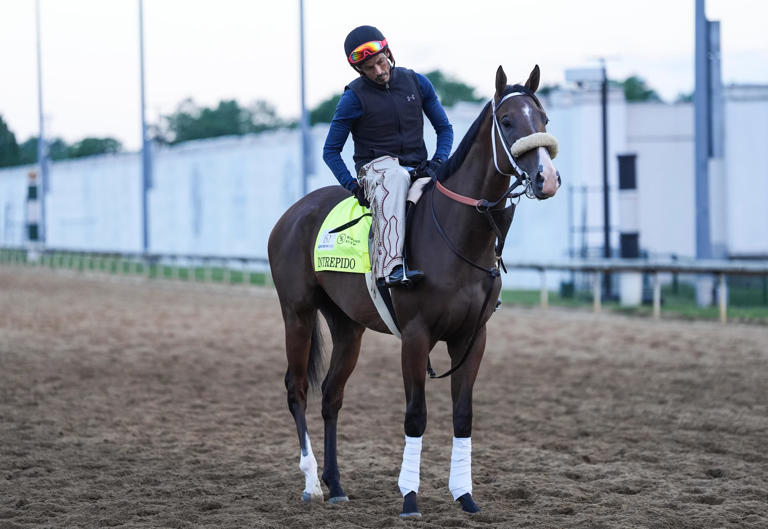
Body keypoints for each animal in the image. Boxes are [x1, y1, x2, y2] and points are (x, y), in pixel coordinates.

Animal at [268, 65, 560, 517]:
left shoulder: (471, 337)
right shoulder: (416, 336)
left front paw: (466, 496)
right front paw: (409, 498)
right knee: (297, 390)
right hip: (296, 313)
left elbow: (463, 415)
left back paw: (336, 484)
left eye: (543, 119)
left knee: (332, 395)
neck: (458, 236)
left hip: (347, 326)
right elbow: (415, 415)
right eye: (508, 121)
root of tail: (293, 213)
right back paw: (312, 483)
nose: (547, 179)